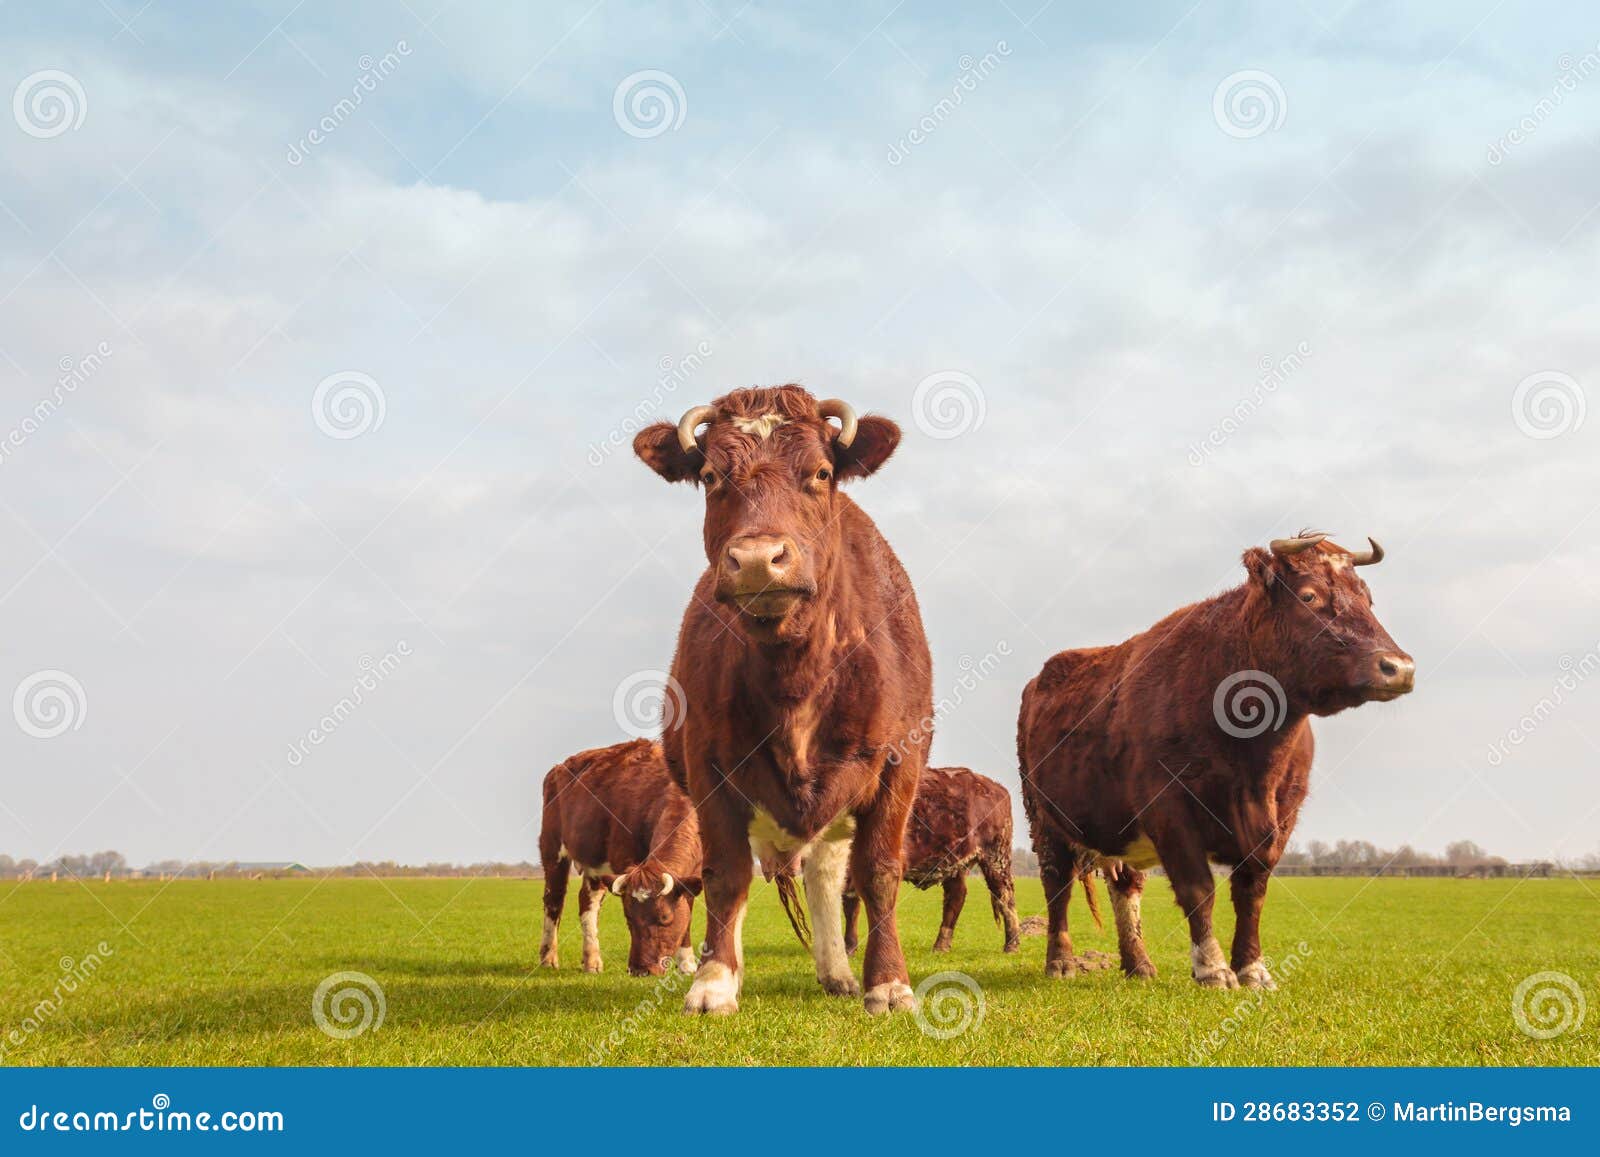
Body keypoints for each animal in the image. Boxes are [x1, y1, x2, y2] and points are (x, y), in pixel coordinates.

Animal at [537, 738, 701, 977]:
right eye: (629, 918)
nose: (641, 970)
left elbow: (687, 912)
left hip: (594, 864)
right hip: (552, 849)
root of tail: (558, 767)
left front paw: (687, 964)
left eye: (664, 918)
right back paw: (548, 958)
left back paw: (592, 960)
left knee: (588, 903)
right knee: (554, 900)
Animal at [633, 385, 933, 1016]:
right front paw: (714, 981)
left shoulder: (901, 761)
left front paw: (889, 984)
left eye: (821, 473)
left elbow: (880, 872)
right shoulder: (709, 766)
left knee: (825, 875)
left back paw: (838, 972)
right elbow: (724, 875)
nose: (756, 559)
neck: (796, 674)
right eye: (712, 476)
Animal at [842, 766, 1022, 955]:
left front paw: (850, 947)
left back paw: (1012, 945)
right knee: (956, 896)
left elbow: (854, 903)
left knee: (1004, 895)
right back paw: (941, 945)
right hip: (956, 864)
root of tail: (996, 787)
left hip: (995, 858)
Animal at [1017, 532, 1414, 990]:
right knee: (1057, 885)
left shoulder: (1282, 814)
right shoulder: (1170, 808)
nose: (1399, 667)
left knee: (1125, 888)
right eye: (1309, 595)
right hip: (1045, 820)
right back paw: (1061, 961)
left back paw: (1139, 964)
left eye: (1367, 597)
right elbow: (1198, 888)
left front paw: (1253, 969)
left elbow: (1251, 893)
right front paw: (1213, 968)